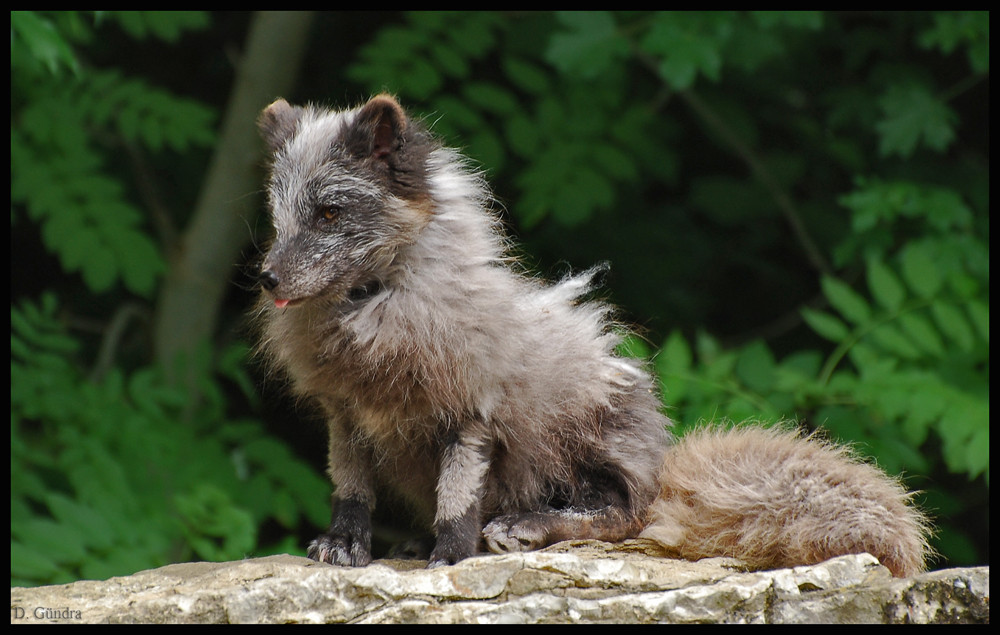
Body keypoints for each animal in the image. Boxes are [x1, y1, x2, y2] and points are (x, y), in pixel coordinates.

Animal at [252, 93, 928, 576]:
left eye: (330, 213)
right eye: (278, 217)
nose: (266, 278)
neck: (372, 311)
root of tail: (661, 467)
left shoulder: (472, 415)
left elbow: (458, 500)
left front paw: (452, 555)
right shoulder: (346, 415)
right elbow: (351, 492)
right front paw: (345, 545)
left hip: (591, 434)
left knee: (618, 517)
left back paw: (523, 526)